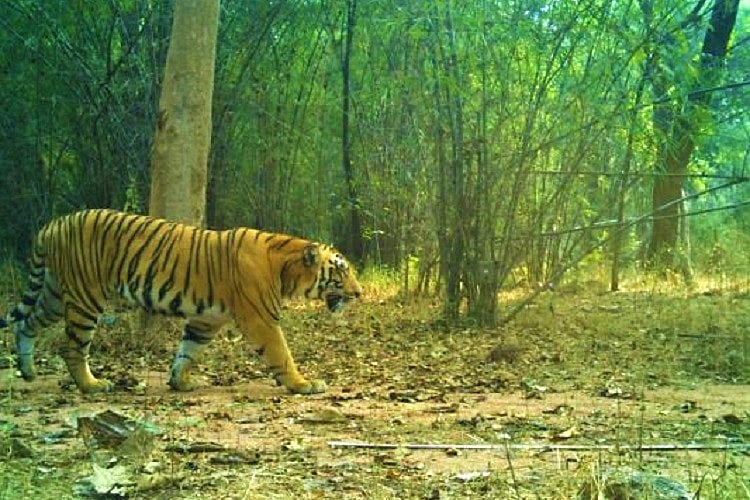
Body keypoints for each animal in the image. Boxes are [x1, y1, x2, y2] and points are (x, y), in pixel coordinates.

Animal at [0, 209, 362, 395]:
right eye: (341, 271)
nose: (359, 293)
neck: (285, 268)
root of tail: (53, 223)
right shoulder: (261, 319)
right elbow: (282, 354)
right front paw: (304, 384)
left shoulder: (206, 319)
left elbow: (188, 351)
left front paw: (180, 382)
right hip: (85, 297)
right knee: (72, 347)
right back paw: (92, 385)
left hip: (54, 294)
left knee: (25, 323)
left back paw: (28, 371)